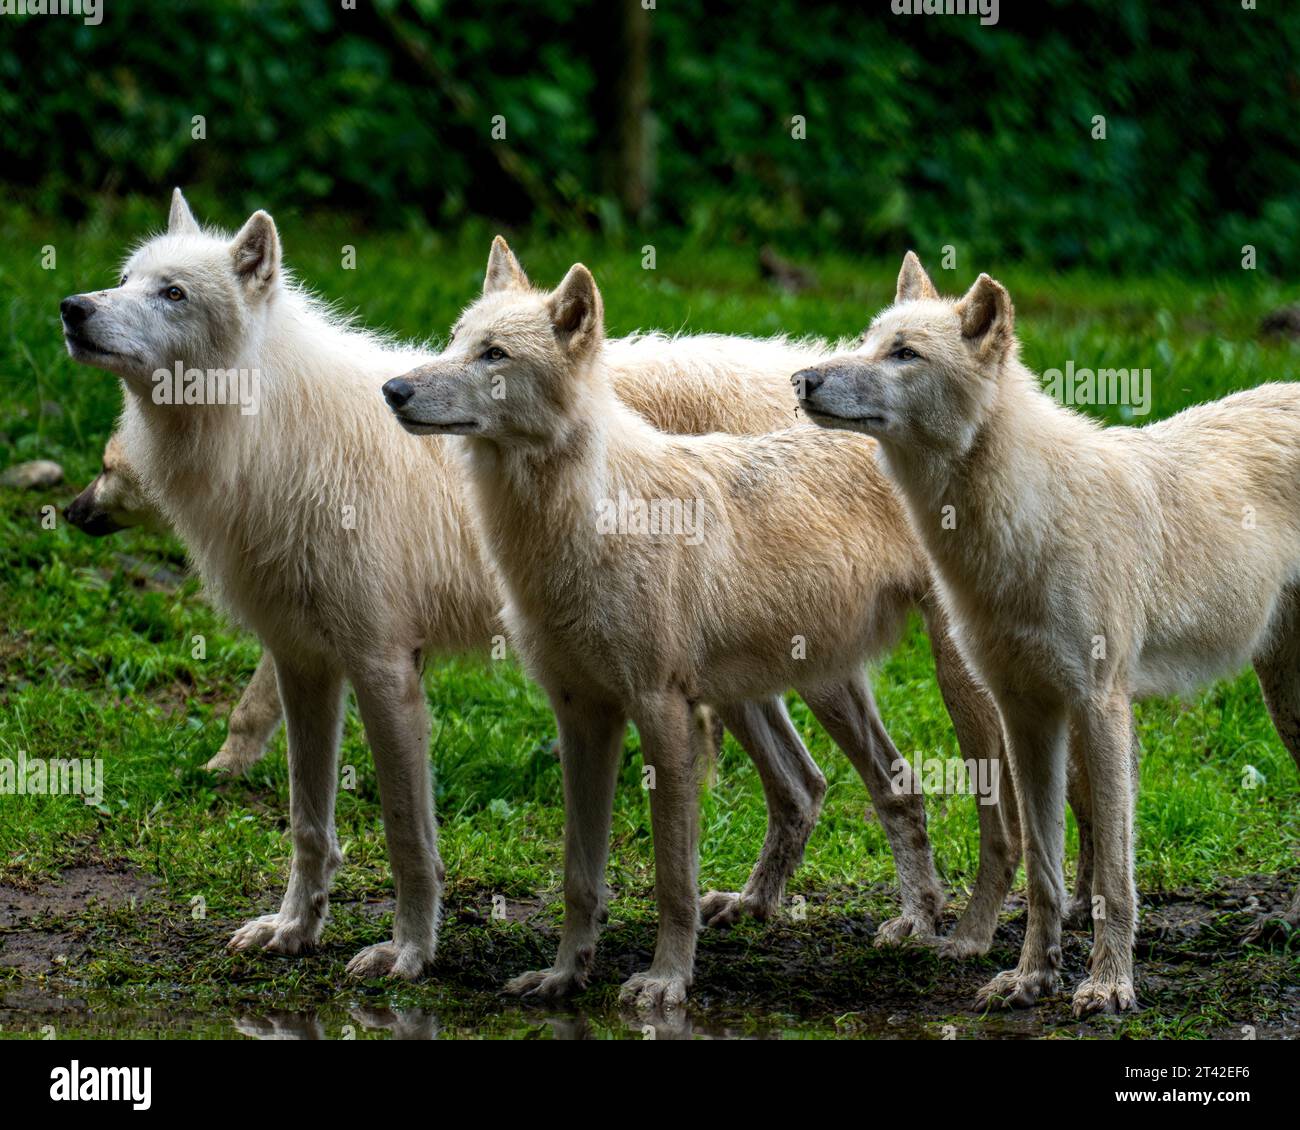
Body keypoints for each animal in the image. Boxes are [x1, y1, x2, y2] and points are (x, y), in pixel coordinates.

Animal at [382, 246, 1026, 1009]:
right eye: (455, 341)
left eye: (494, 354)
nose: (392, 389)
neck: (581, 521)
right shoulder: (582, 716)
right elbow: (579, 876)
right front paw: (565, 975)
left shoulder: (662, 713)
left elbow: (672, 878)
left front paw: (665, 982)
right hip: (802, 682)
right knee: (876, 786)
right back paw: (905, 920)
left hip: (951, 692)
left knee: (1004, 826)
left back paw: (977, 936)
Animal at [797, 251, 1300, 1015]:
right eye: (865, 342)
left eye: (905, 354)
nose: (803, 379)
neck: (1024, 519)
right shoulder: (1025, 712)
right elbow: (1044, 869)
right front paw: (1031, 978)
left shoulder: (1101, 706)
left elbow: (1114, 878)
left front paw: (1109, 985)